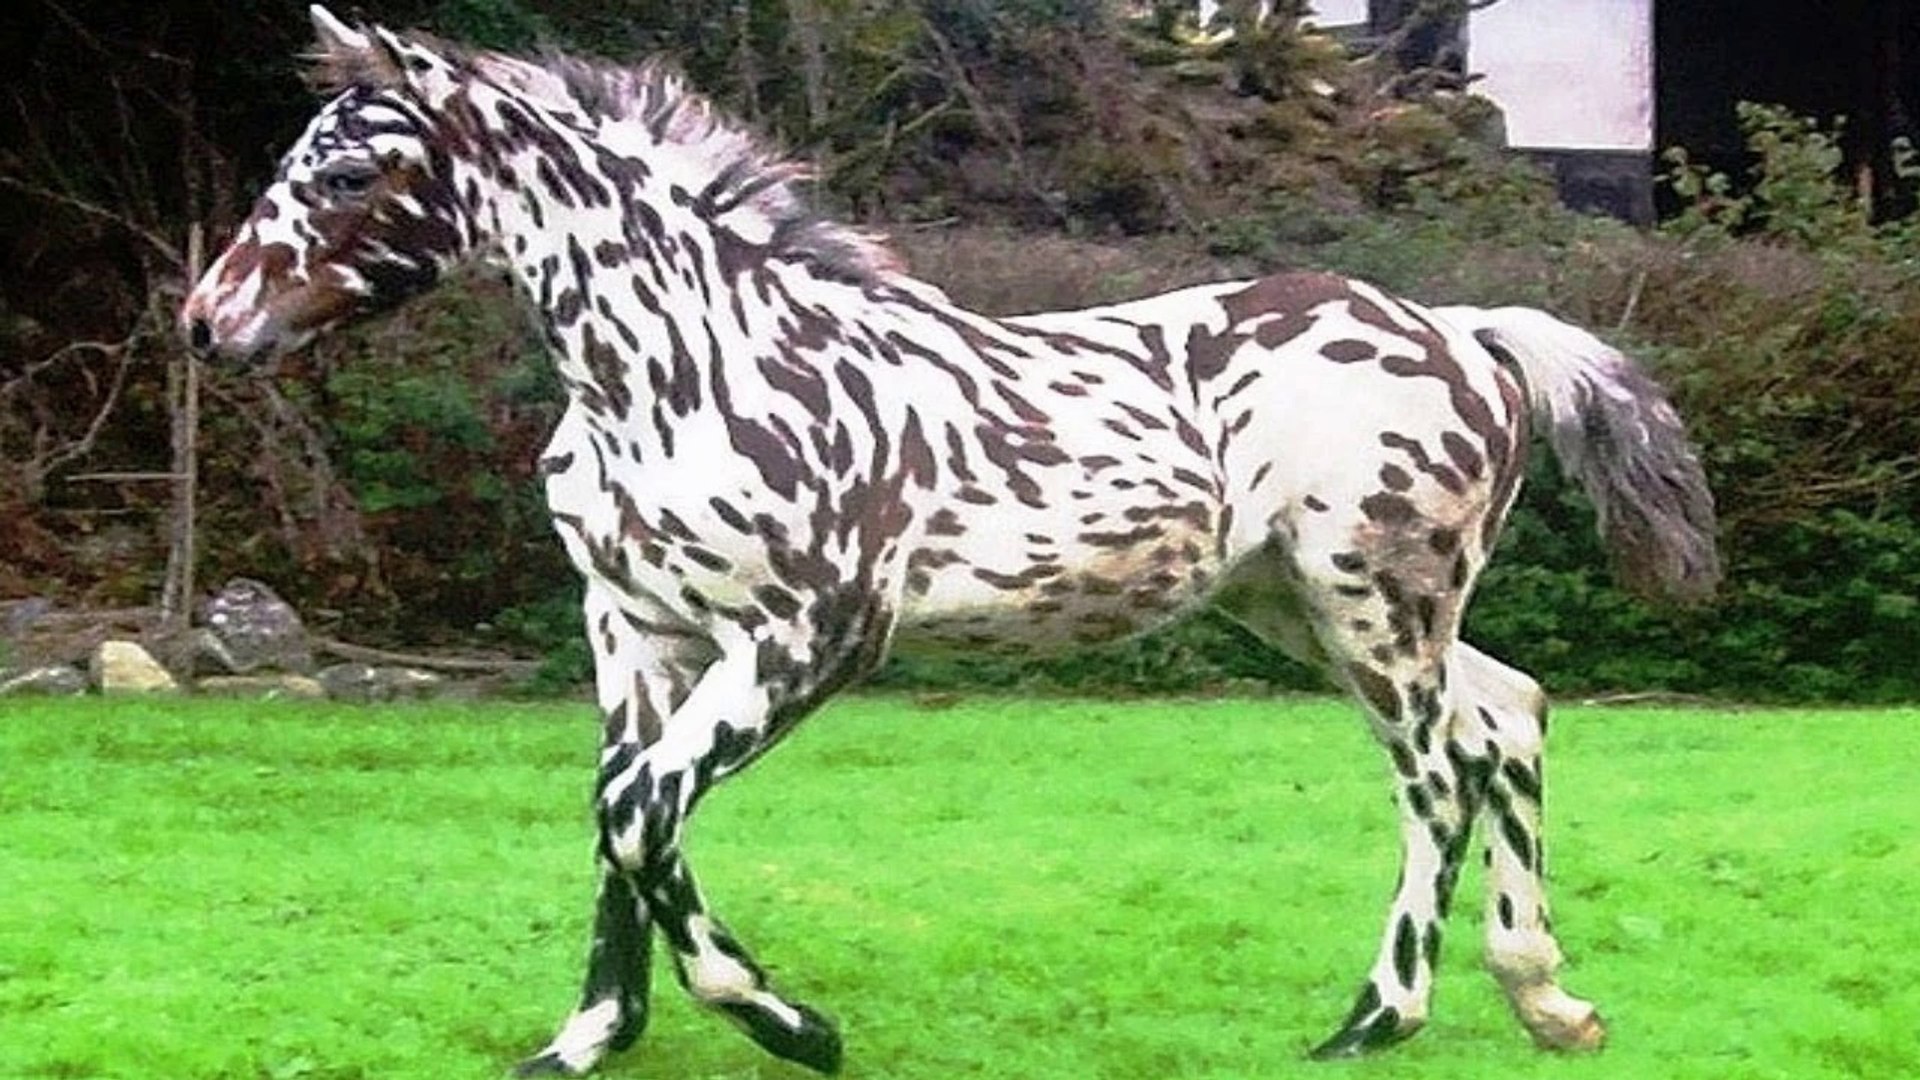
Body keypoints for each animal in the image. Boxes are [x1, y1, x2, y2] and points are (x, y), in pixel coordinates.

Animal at [181, 7, 1719, 1075]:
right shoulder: (632, 629)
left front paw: (789, 1022)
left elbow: (639, 813)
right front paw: (589, 1038)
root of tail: (1465, 331)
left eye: (357, 171)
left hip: (1371, 602)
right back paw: (1547, 996)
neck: (694, 365)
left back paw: (1375, 1020)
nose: (207, 320)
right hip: (1308, 604)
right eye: (297, 159)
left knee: (1438, 776)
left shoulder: (808, 637)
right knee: (1508, 714)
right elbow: (619, 813)